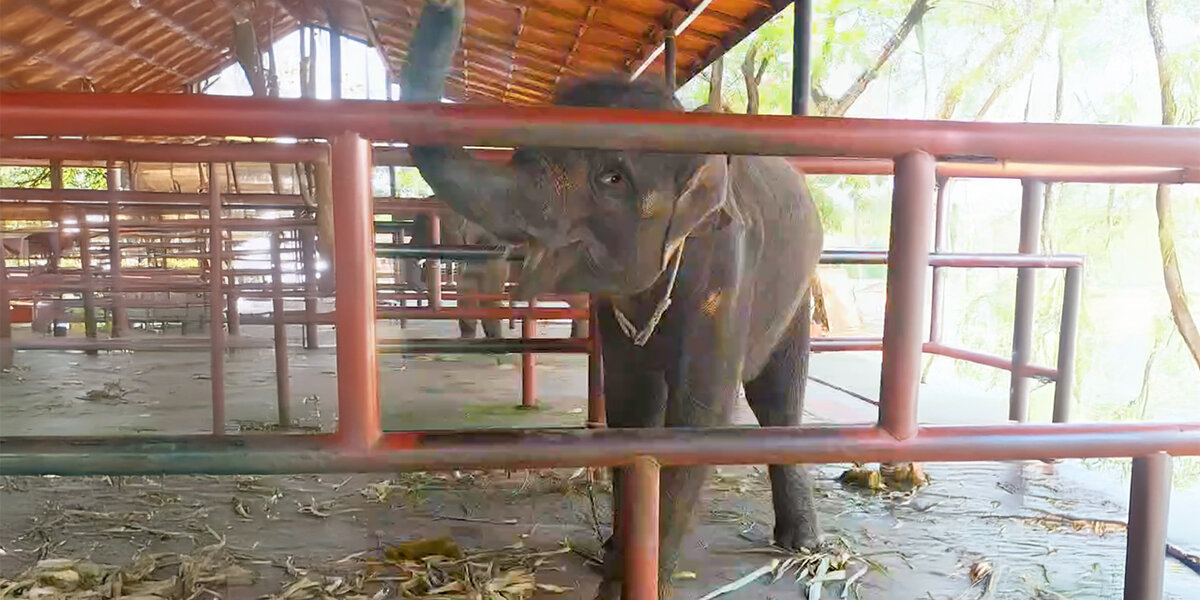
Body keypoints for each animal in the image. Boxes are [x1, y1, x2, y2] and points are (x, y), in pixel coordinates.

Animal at [399, 1, 825, 596]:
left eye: (612, 177)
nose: (447, 8)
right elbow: (630, 405)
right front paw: (617, 555)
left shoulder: (727, 264)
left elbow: (698, 416)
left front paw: (632, 580)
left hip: (797, 293)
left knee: (777, 399)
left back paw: (801, 544)